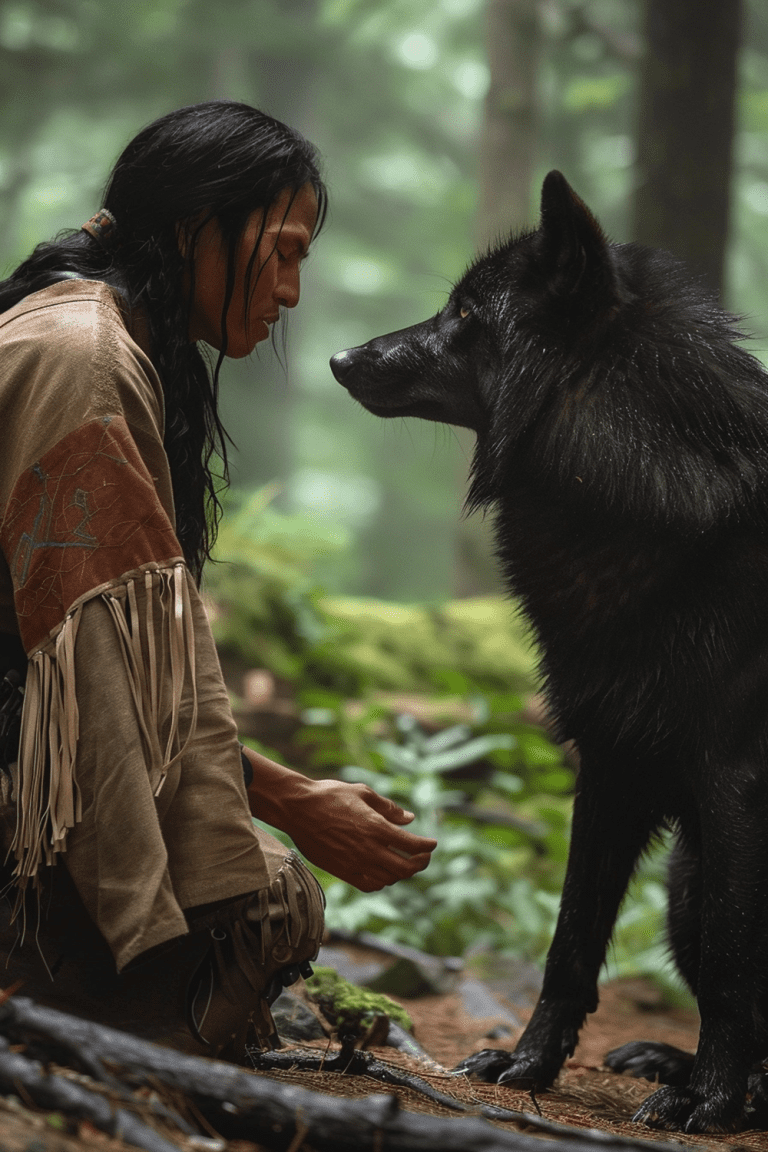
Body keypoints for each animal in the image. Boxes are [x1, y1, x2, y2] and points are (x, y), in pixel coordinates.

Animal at [329, 171, 768, 1134]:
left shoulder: (734, 781)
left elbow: (732, 966)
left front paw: (715, 1102)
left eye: (466, 314)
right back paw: (671, 1063)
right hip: (679, 883)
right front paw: (528, 1066)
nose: (339, 356)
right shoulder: (608, 759)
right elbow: (570, 942)